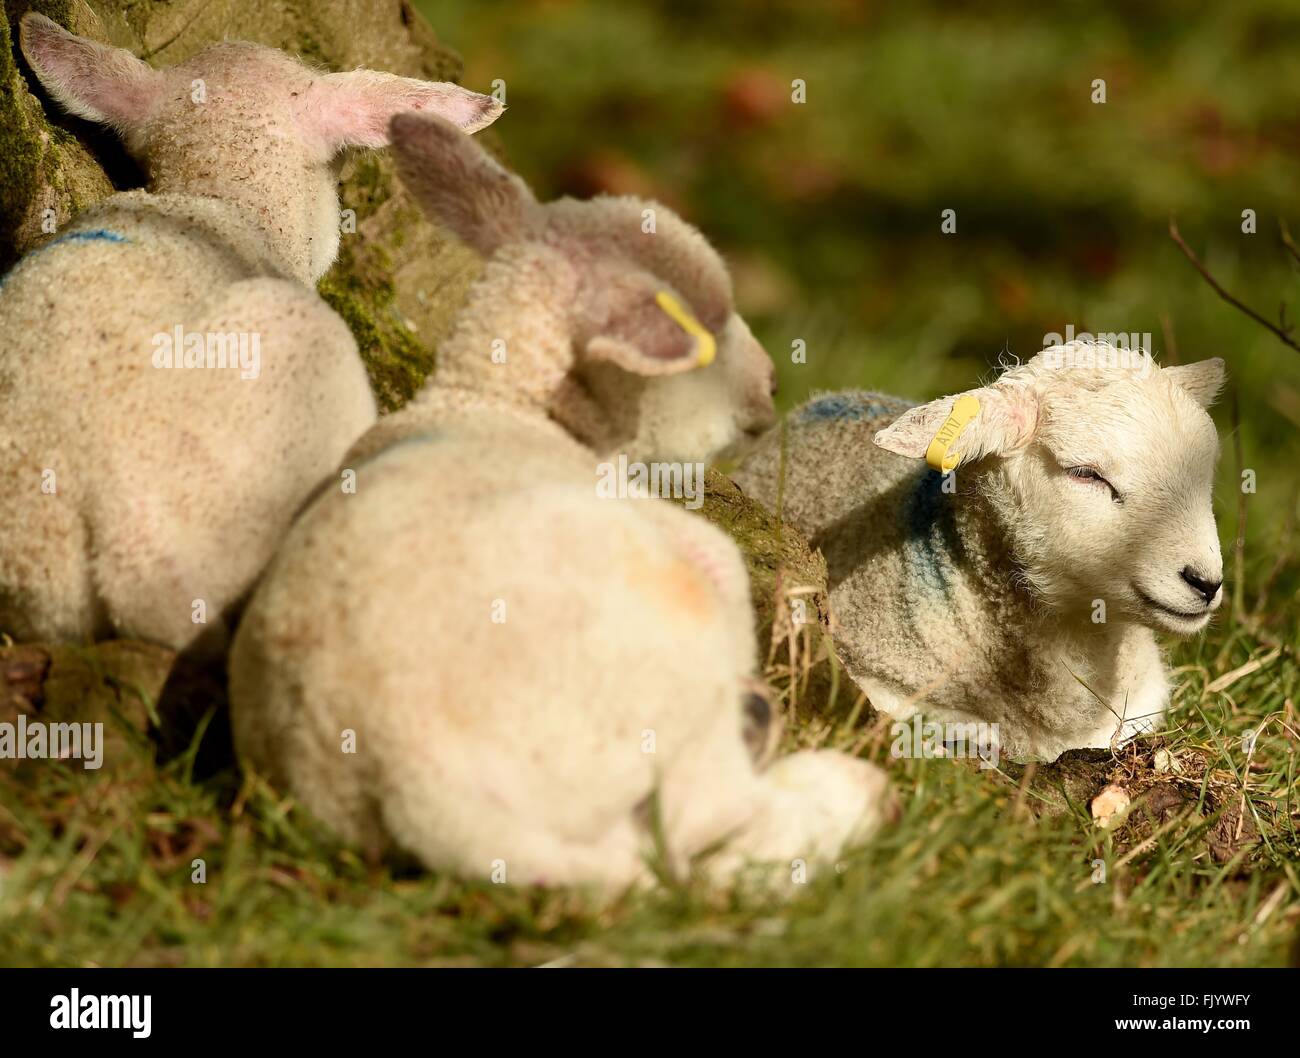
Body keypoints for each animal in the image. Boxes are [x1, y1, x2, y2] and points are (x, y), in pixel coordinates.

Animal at [228, 113, 893, 890]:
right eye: (710, 319)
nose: (771, 388)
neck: (493, 399)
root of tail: (420, 789)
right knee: (702, 833)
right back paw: (839, 783)